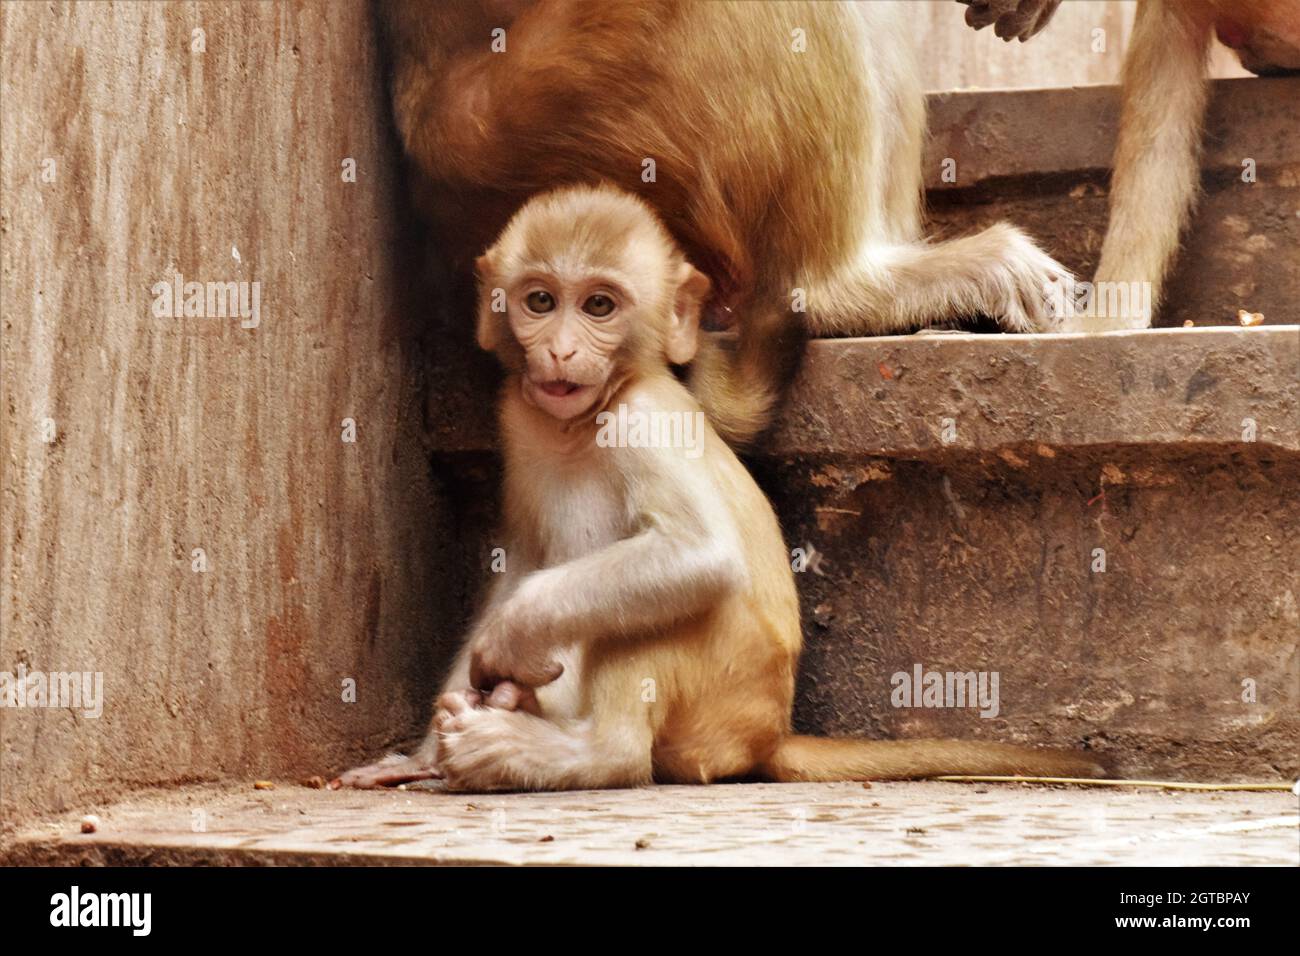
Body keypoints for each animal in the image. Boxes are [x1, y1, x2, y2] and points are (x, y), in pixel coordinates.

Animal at [332, 184, 1105, 792]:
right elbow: (520, 559)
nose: (559, 350)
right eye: (541, 301)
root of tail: (767, 736)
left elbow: (700, 555)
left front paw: (515, 631)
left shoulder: (644, 423)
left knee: (659, 617)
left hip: (726, 693)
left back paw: (569, 754)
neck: (582, 422)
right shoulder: (519, 419)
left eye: (600, 306)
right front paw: (421, 753)